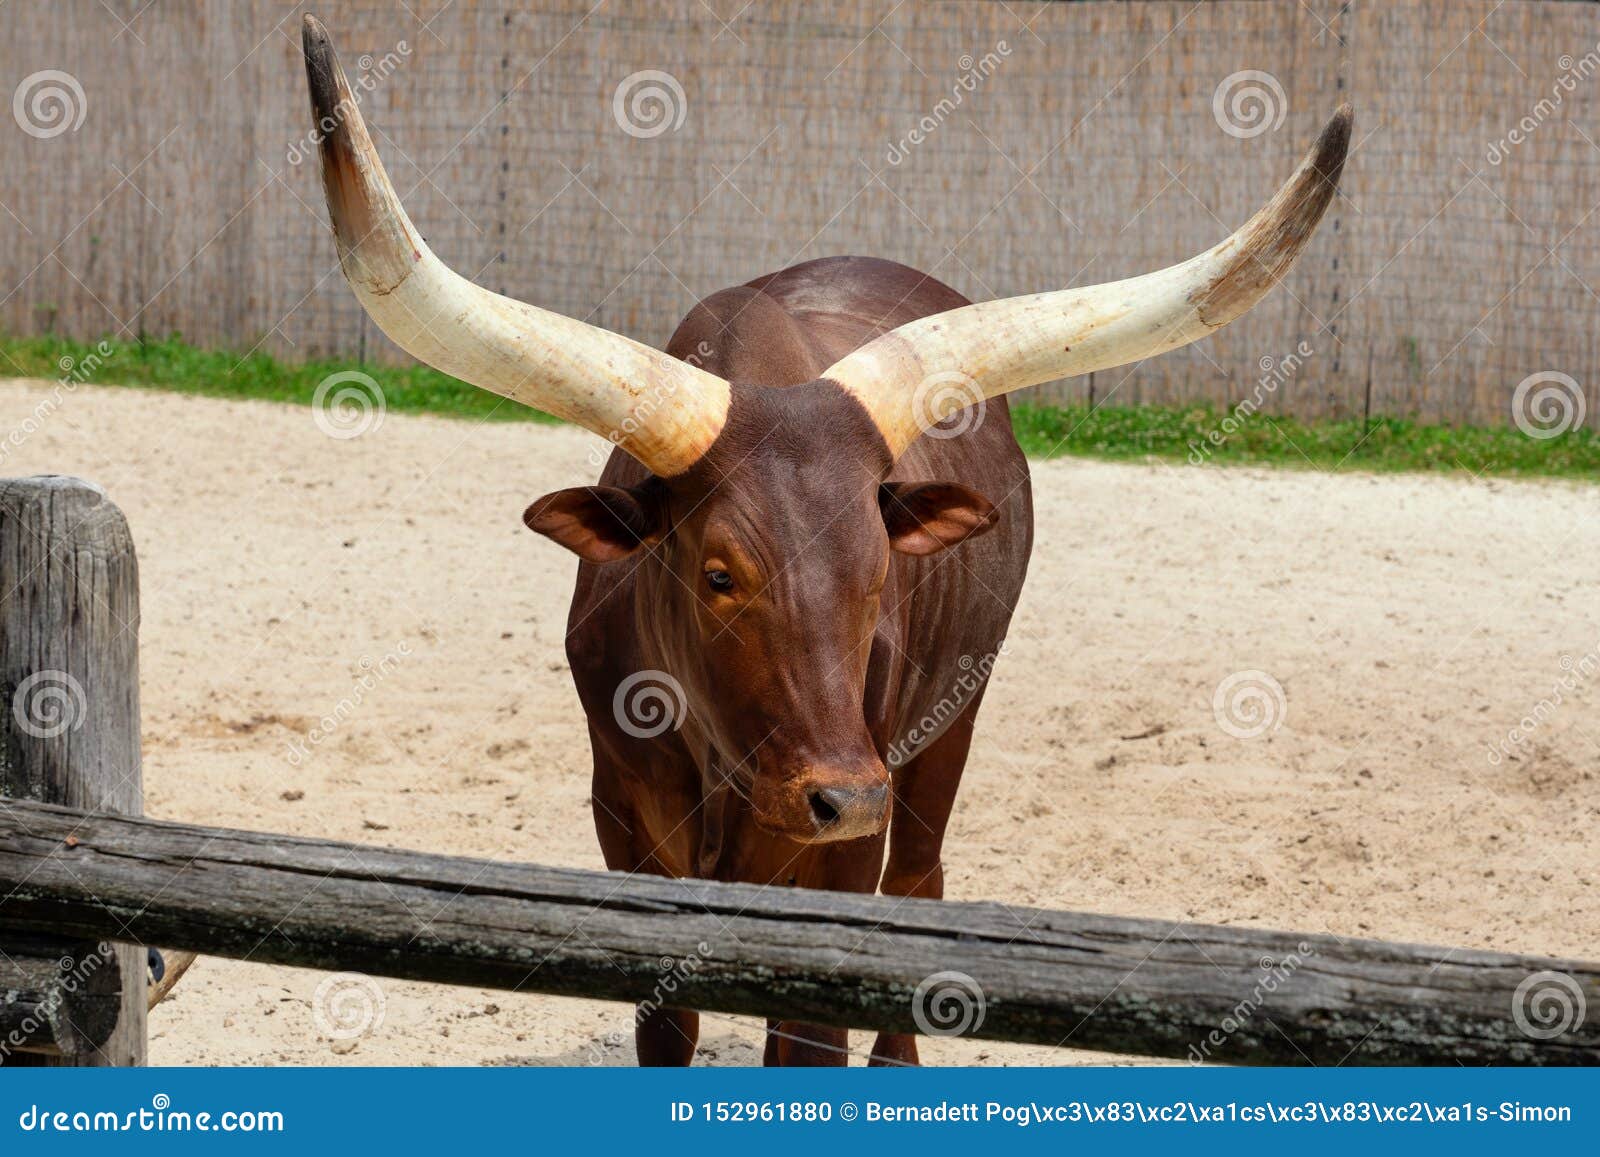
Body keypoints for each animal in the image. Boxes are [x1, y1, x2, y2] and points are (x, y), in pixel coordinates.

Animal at [302, 15, 1349, 1066]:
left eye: (880, 571)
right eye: (719, 573)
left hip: (949, 720)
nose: (843, 796)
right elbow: (666, 1020)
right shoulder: (623, 823)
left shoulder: (840, 849)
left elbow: (812, 1028)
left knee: (920, 883)